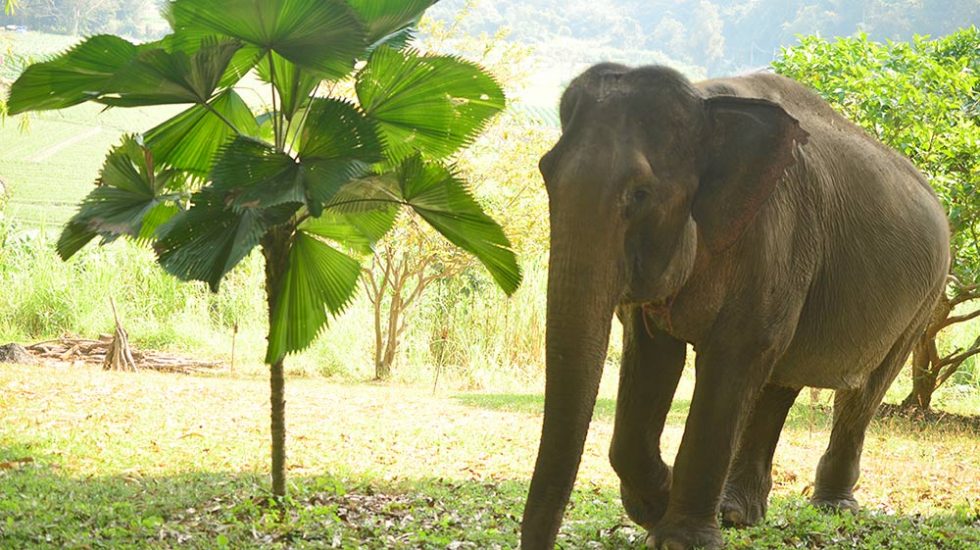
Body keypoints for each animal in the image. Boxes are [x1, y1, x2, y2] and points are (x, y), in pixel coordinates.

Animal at [520, 64, 950, 550]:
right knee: (780, 380)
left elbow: (733, 358)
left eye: (641, 194)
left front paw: (679, 536)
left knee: (863, 390)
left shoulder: (776, 233)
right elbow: (653, 358)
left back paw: (831, 507)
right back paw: (738, 513)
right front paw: (658, 504)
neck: (706, 104)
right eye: (545, 171)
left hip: (925, 300)